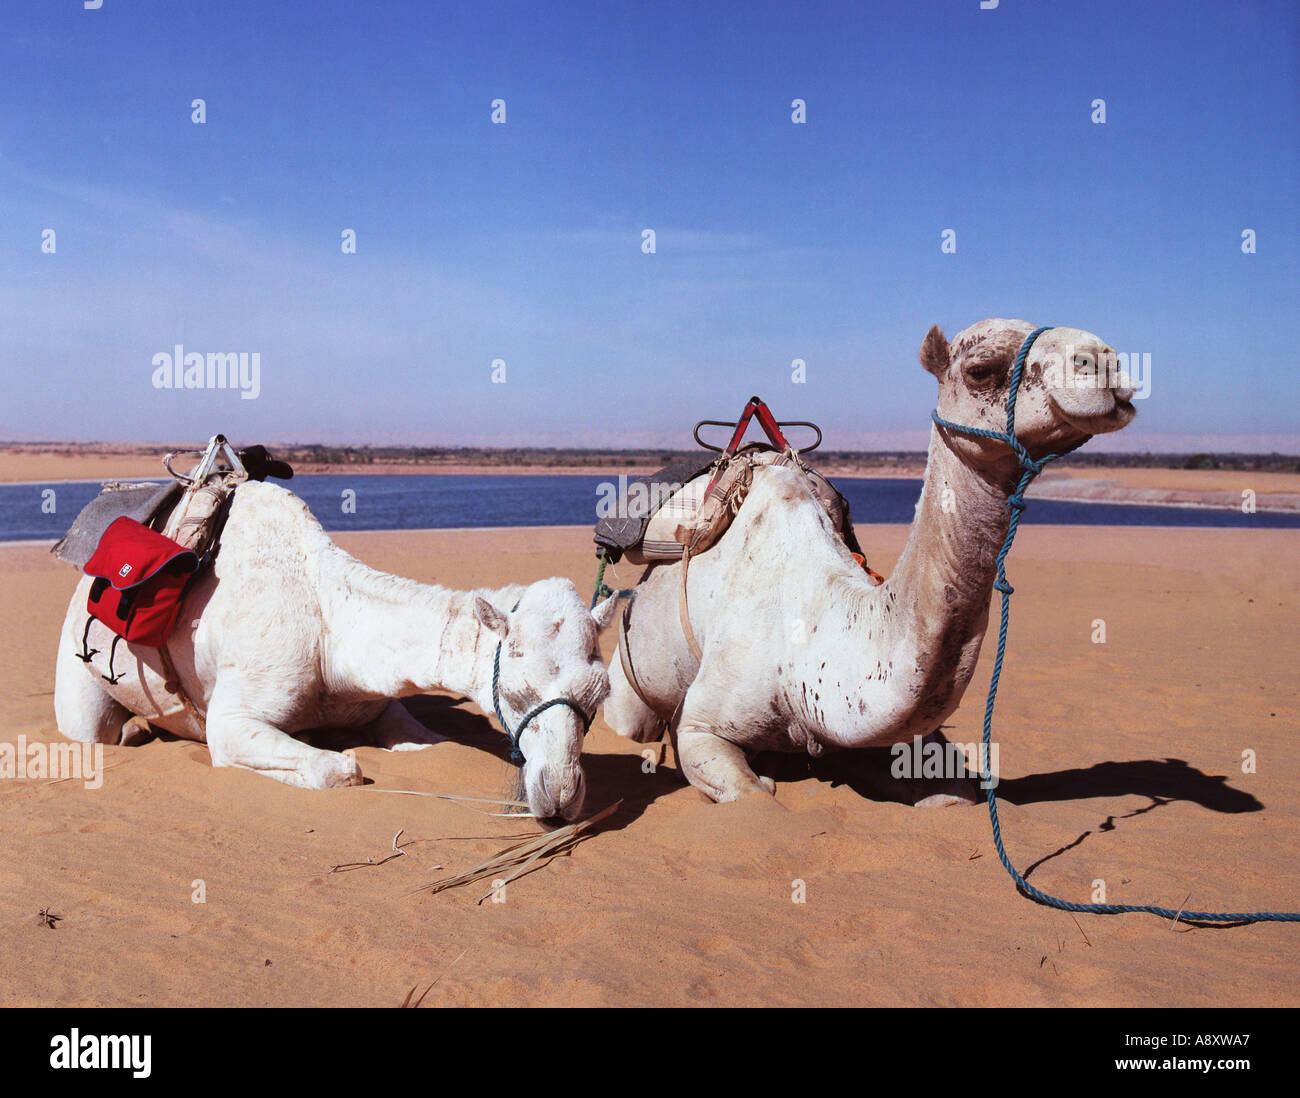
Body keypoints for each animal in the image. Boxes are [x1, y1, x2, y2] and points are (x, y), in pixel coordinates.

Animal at [55, 479, 620, 820]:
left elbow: (427, 744)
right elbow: (339, 769)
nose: (561, 796)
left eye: (599, 697)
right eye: (519, 695)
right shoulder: (233, 720)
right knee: (92, 730)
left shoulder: (378, 702)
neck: (331, 630)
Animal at [603, 319, 1137, 805]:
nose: (1103, 359)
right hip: (628, 680)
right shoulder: (703, 726)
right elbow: (753, 794)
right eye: (981, 369)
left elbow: (954, 796)